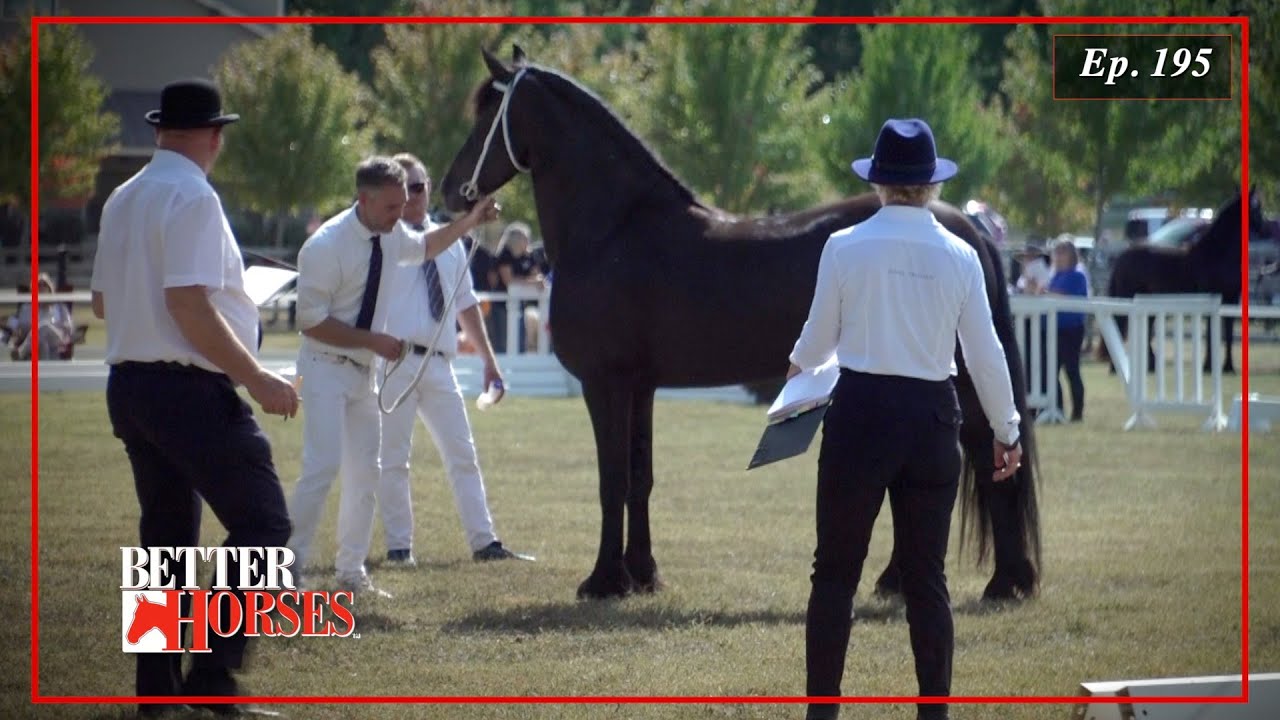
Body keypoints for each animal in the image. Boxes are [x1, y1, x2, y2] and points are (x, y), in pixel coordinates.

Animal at [441, 46, 1041, 602]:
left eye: (488, 113)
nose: (450, 191)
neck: (614, 231)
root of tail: (966, 225)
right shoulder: (640, 385)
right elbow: (639, 478)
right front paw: (643, 575)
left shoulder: (604, 383)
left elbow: (611, 481)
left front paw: (604, 581)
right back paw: (916, 580)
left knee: (989, 452)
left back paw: (1003, 582)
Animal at [1105, 187, 1267, 374]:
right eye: (1255, 208)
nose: (1264, 230)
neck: (1217, 254)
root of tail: (1121, 257)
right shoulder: (1212, 297)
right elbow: (1211, 333)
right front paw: (1208, 366)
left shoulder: (1231, 299)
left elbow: (1228, 333)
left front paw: (1228, 367)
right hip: (1127, 298)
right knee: (1118, 325)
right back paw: (1116, 368)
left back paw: (1150, 366)